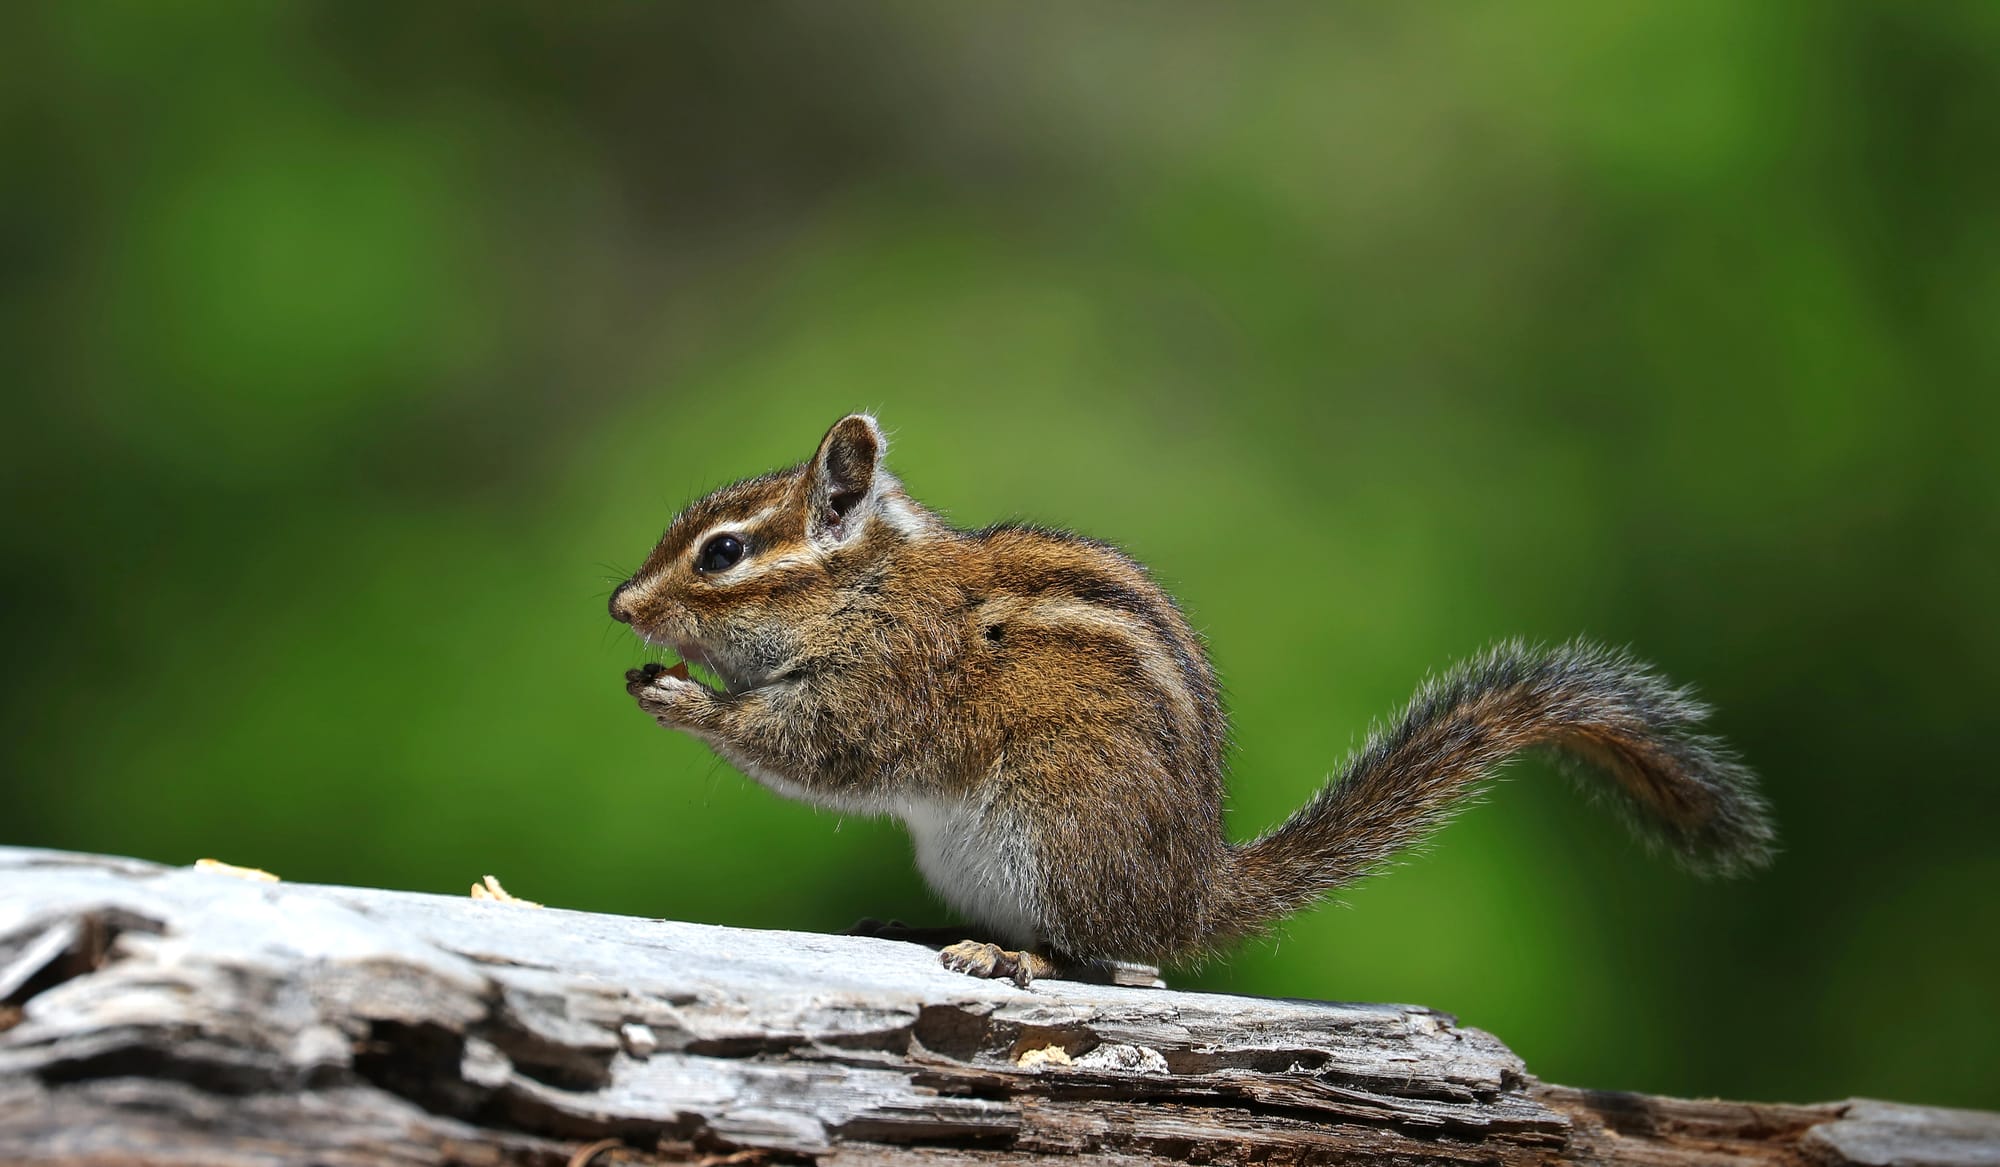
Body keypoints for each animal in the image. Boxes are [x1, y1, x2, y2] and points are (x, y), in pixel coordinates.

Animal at [610, 414, 1774, 986]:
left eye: (721, 555)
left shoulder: (887, 684)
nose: (619, 605)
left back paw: (1012, 951)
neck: (867, 583)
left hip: (1054, 825)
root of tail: (1195, 892)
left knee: (1104, 953)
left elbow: (817, 749)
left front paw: (684, 701)